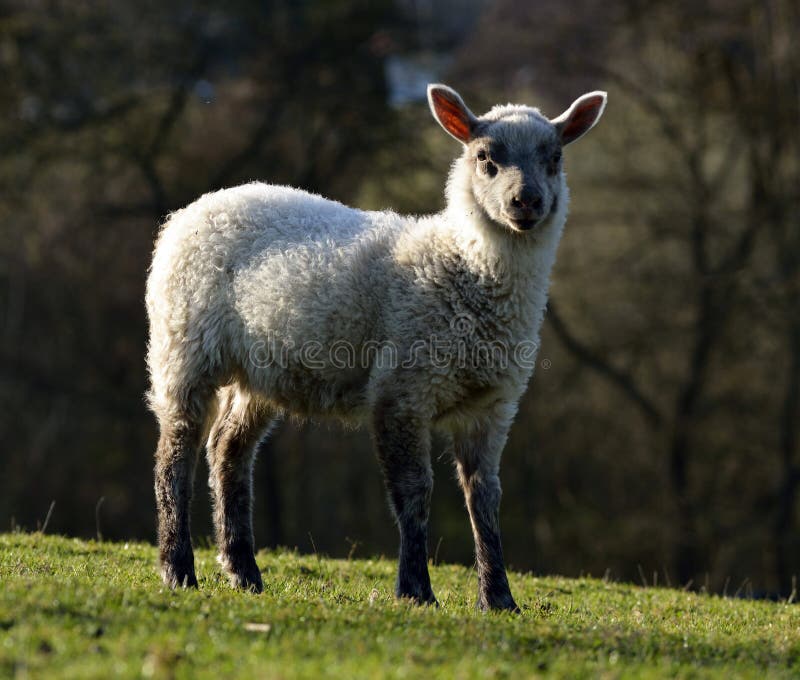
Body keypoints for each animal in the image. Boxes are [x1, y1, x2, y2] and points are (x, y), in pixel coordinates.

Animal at [145, 83, 606, 611]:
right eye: (486, 157)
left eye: (555, 158)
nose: (526, 200)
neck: (461, 269)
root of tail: (194, 209)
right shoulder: (402, 390)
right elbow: (414, 492)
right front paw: (416, 589)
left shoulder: (491, 406)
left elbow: (484, 497)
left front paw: (499, 598)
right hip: (185, 344)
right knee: (175, 454)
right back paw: (178, 569)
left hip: (260, 370)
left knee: (228, 451)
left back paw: (243, 571)